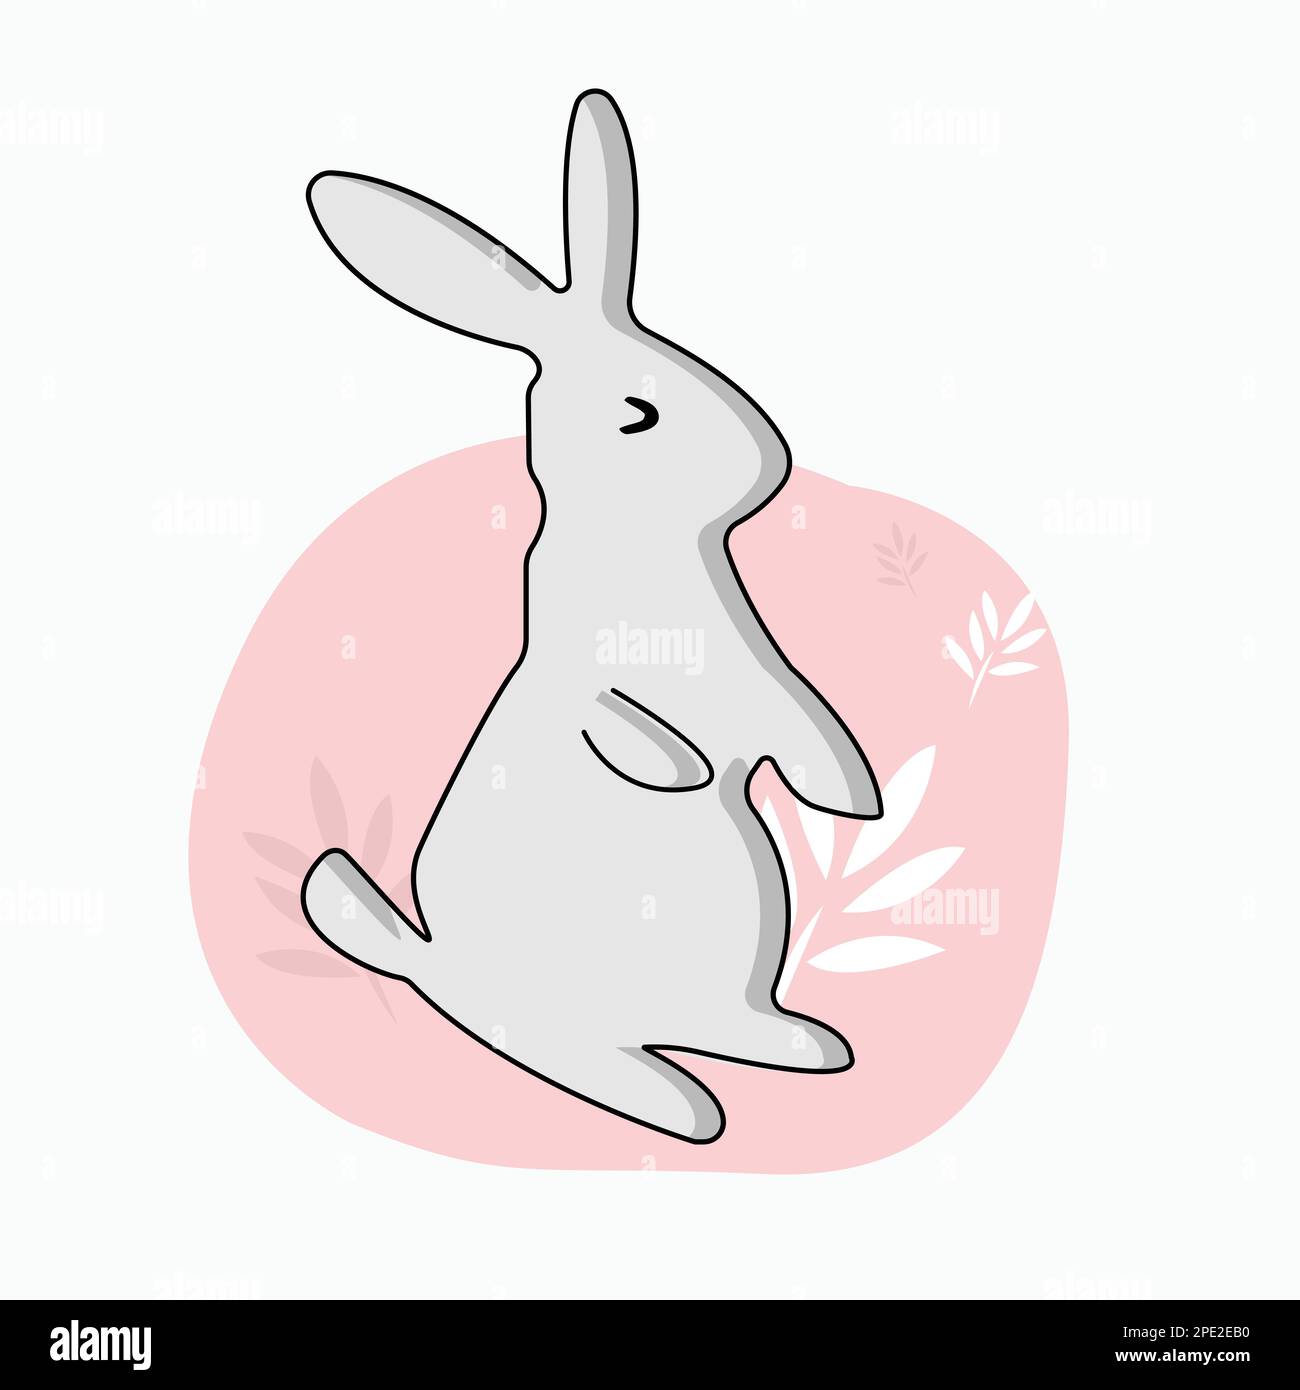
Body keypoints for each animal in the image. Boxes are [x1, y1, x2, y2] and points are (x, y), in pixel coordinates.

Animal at [300, 90, 882, 1143]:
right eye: (636, 414)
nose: (771, 460)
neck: (645, 543)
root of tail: (433, 965)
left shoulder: (760, 668)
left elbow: (802, 722)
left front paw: (849, 796)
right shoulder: (592, 662)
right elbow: (618, 713)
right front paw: (677, 765)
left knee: (714, 1028)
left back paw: (799, 1046)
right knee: (585, 1060)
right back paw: (678, 1104)